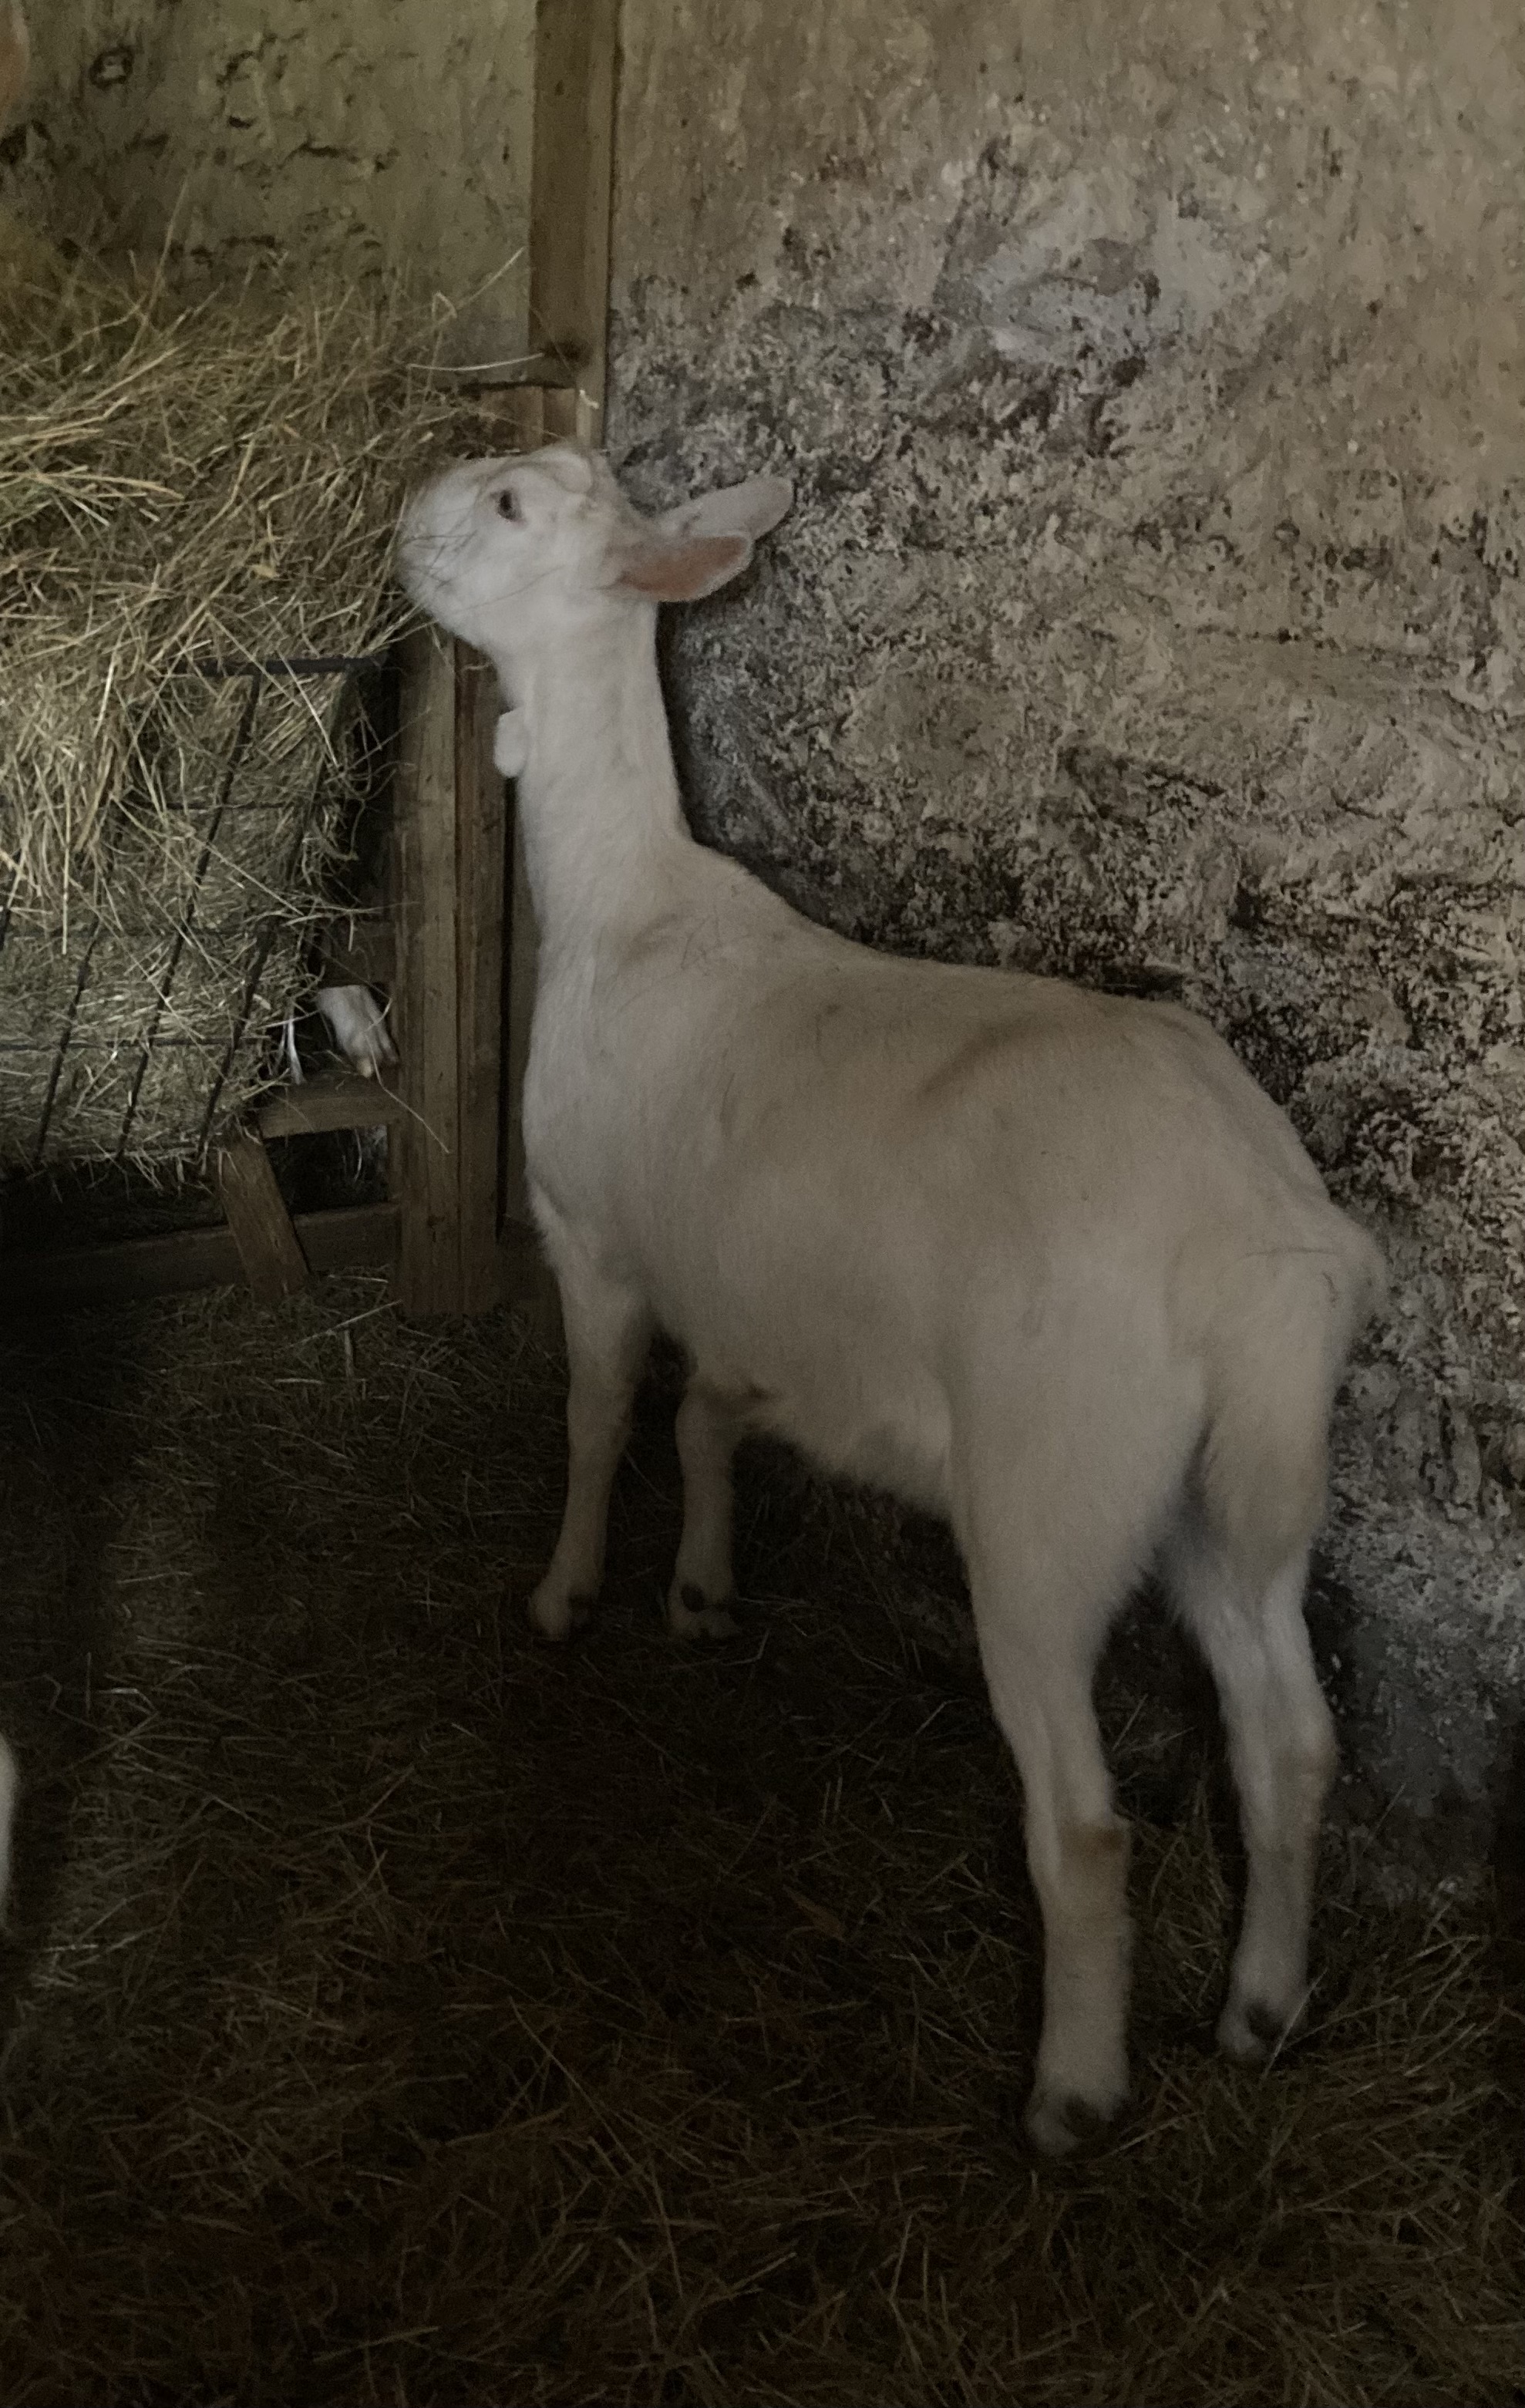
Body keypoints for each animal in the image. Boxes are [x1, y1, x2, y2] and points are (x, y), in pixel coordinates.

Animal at [398, 443, 1384, 2154]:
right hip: (1241, 1488)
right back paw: (1258, 2003)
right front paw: (701, 1589)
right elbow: (712, 1418)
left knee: (1084, 1825)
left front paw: (568, 1592)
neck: (624, 898)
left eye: (513, 506)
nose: (400, 519)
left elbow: (601, 1417)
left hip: (1051, 1495)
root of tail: (1253, 1246)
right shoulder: (753, 1297)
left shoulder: (593, 1234)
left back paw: (1072, 2089)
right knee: (1288, 1740)